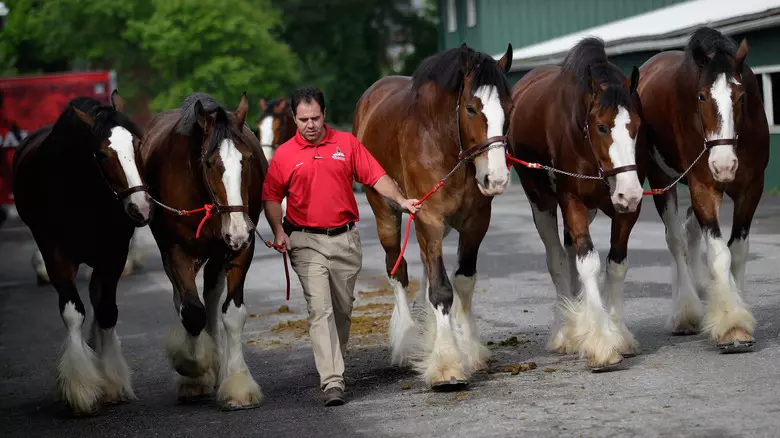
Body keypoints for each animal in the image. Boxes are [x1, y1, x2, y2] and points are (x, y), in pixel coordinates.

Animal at [11, 90, 150, 416]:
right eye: (102, 154)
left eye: (137, 143)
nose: (140, 207)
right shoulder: (57, 254)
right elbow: (73, 312)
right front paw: (82, 388)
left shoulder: (114, 253)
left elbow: (107, 311)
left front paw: (111, 382)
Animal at [142, 91, 270, 410]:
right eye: (210, 162)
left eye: (247, 159)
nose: (237, 229)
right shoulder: (176, 251)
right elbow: (192, 312)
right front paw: (193, 370)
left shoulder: (239, 250)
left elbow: (231, 313)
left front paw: (237, 383)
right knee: (186, 303)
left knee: (211, 299)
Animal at [352, 42, 512, 388]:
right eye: (471, 108)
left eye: (509, 105)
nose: (496, 178)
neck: (444, 141)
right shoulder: (429, 219)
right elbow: (440, 289)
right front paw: (447, 365)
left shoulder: (476, 223)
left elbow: (462, 282)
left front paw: (469, 350)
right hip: (386, 214)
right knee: (397, 271)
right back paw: (405, 343)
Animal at [506, 37, 644, 372]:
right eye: (601, 127)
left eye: (636, 125)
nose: (630, 191)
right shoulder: (572, 201)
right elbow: (588, 263)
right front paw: (602, 344)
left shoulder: (625, 211)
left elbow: (616, 265)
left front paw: (617, 333)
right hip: (541, 202)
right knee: (557, 259)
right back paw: (566, 331)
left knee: (569, 254)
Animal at [640, 27, 768, 350]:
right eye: (701, 96)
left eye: (741, 96)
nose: (723, 165)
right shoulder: (703, 188)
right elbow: (719, 253)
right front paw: (731, 324)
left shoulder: (751, 188)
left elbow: (737, 251)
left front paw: (736, 308)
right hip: (662, 182)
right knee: (675, 240)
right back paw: (685, 312)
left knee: (689, 231)